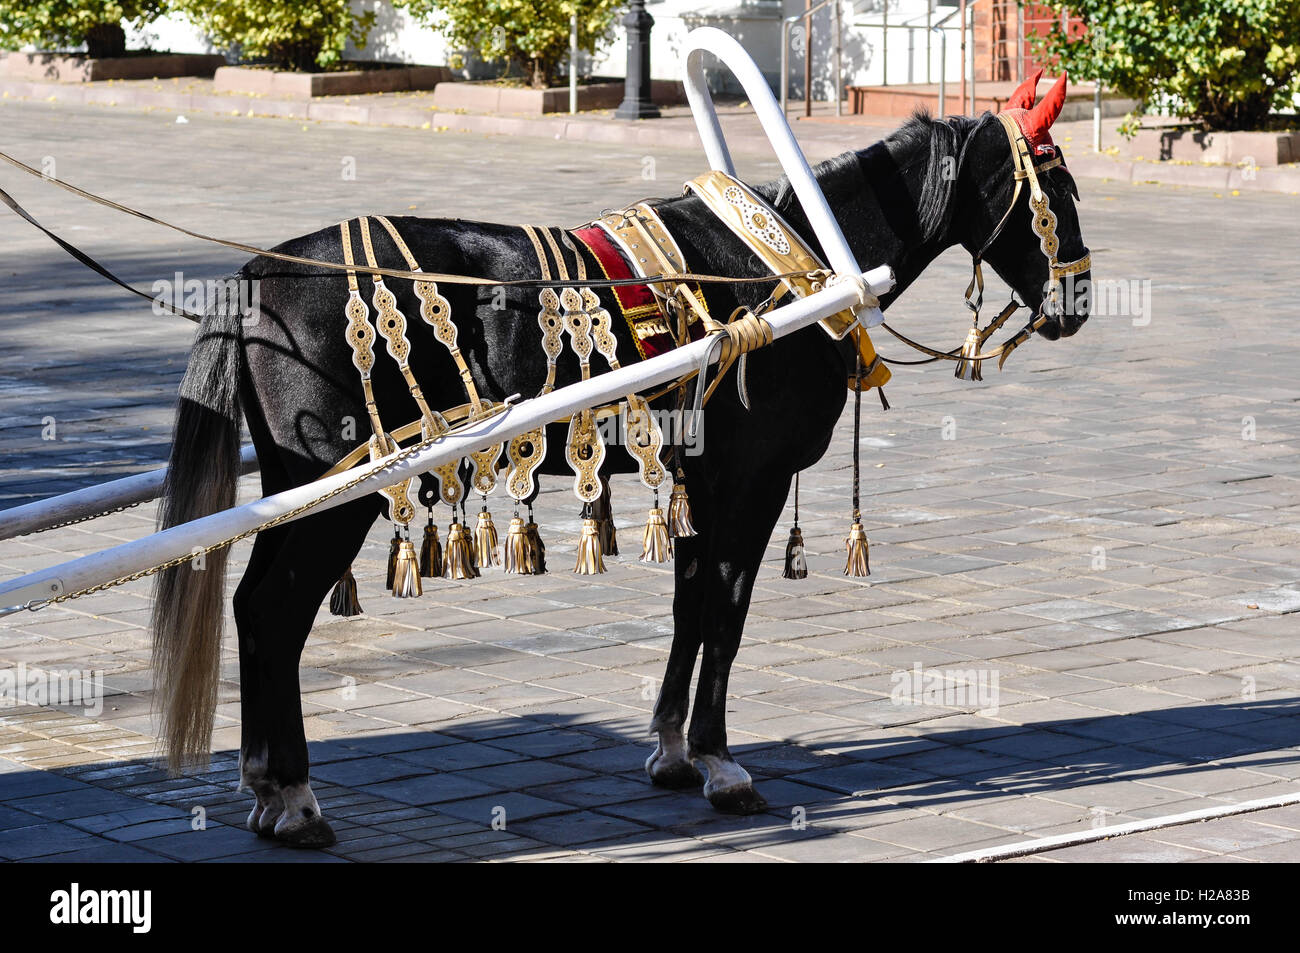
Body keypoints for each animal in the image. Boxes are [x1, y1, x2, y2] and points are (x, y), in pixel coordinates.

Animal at [150, 72, 1090, 847]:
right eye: (1057, 188)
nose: (1079, 300)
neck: (787, 268)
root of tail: (257, 274)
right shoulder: (749, 482)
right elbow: (726, 612)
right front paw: (720, 762)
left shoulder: (699, 483)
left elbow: (689, 607)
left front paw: (672, 749)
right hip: (336, 491)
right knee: (277, 611)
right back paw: (295, 798)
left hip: (292, 487)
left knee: (250, 605)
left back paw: (266, 783)